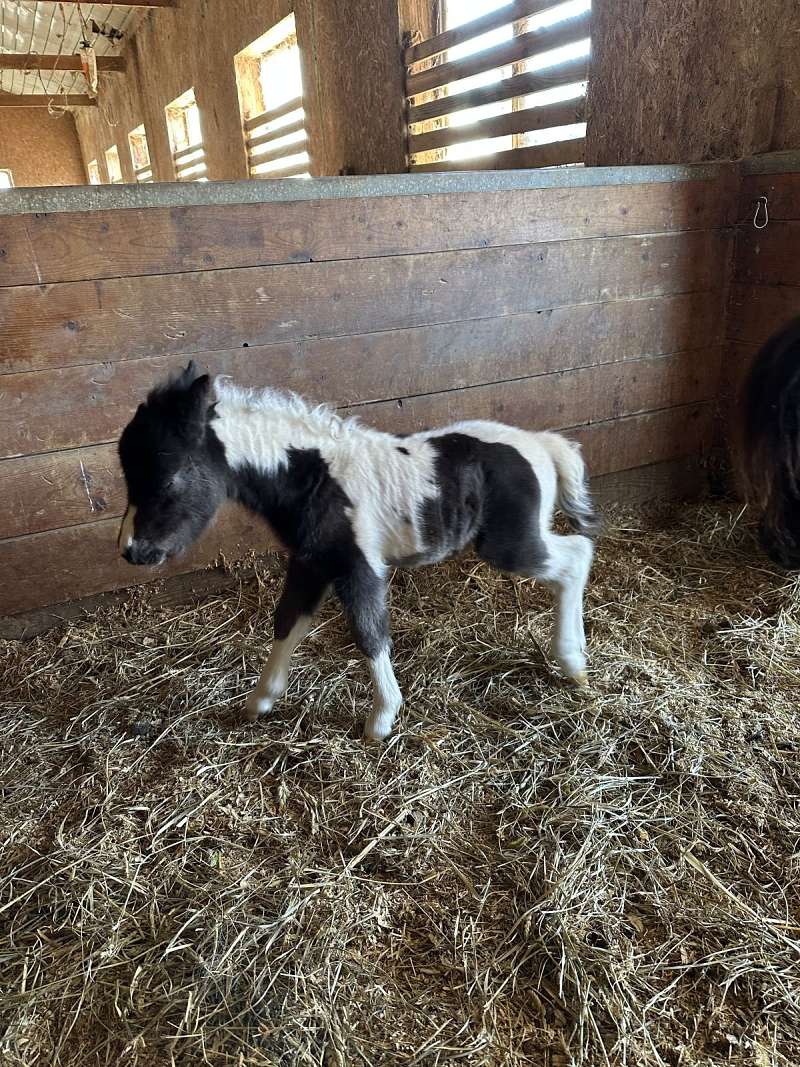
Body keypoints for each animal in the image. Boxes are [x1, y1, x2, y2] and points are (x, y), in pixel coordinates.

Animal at [117, 362, 597, 739]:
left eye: (169, 477)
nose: (132, 551)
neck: (316, 477)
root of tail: (542, 443)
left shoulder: (358, 565)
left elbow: (369, 633)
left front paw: (381, 720)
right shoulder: (310, 563)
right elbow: (286, 622)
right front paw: (260, 701)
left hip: (509, 543)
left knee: (576, 555)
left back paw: (572, 661)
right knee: (577, 552)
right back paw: (577, 660)